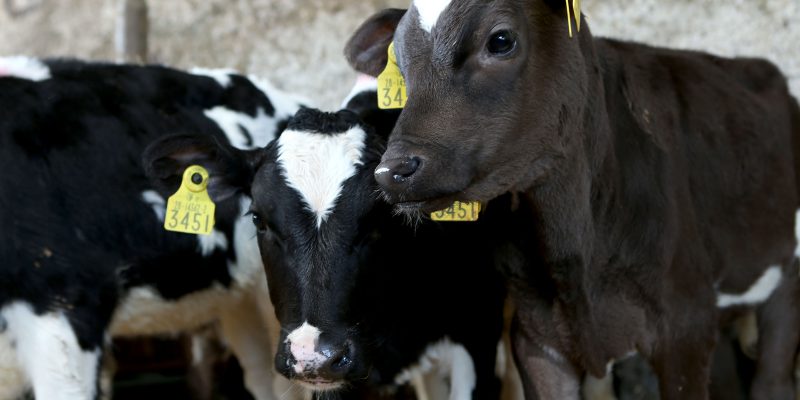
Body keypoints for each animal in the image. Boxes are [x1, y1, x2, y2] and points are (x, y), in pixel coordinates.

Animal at [342, 2, 800, 399]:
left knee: (772, 380)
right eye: (399, 65)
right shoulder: (536, 339)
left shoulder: (685, 326)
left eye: (501, 40)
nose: (393, 170)